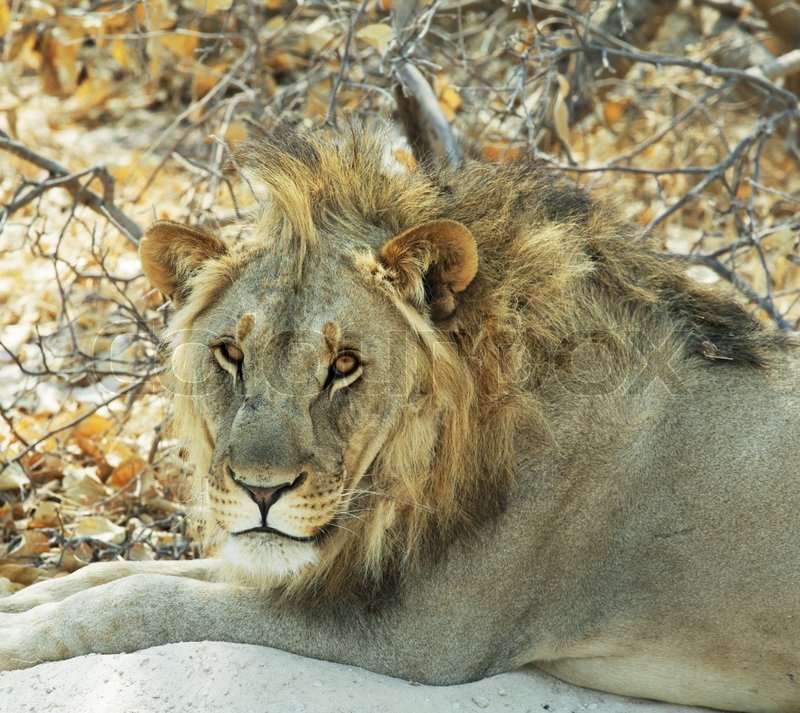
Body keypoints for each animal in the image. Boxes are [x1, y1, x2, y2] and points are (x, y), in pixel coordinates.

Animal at [1, 126, 798, 713]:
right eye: (230, 353)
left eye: (345, 364)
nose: (261, 491)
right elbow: (126, 569)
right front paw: (25, 601)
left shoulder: (419, 638)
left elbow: (146, 599)